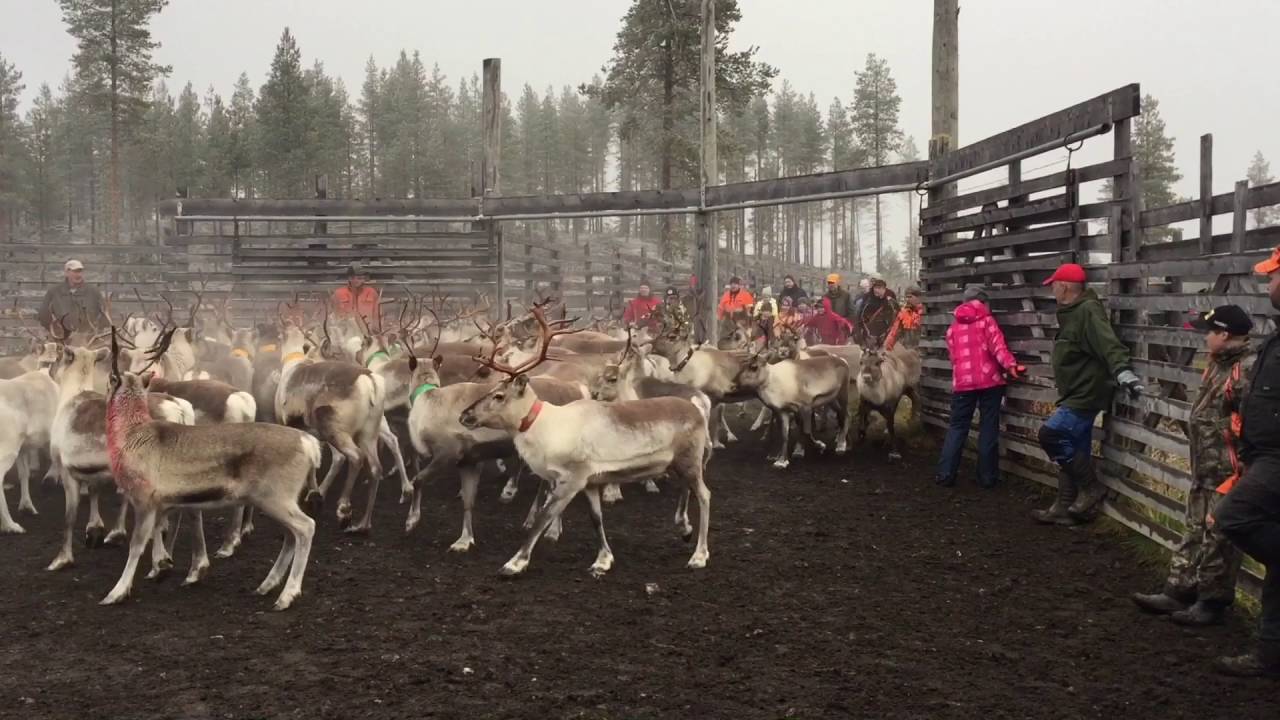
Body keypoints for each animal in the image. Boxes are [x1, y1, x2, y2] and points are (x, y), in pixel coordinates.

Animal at [100, 329, 323, 610]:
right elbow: (161, 532)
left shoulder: (144, 499)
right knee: (290, 535)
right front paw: (163, 567)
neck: (130, 436)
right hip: (277, 499)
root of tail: (310, 445)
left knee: (306, 527)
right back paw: (266, 585)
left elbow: (137, 545)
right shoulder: (163, 502)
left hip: (276, 496)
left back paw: (287, 595)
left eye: (109, 381)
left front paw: (116, 592)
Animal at [459, 306, 713, 577]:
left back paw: (699, 554)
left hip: (690, 459)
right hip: (680, 462)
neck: (542, 427)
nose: (465, 414)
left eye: (498, 395)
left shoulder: (573, 478)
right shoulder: (591, 481)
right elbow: (596, 518)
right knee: (687, 488)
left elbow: (543, 518)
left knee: (705, 495)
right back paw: (684, 527)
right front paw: (603, 559)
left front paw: (515, 562)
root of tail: (698, 409)